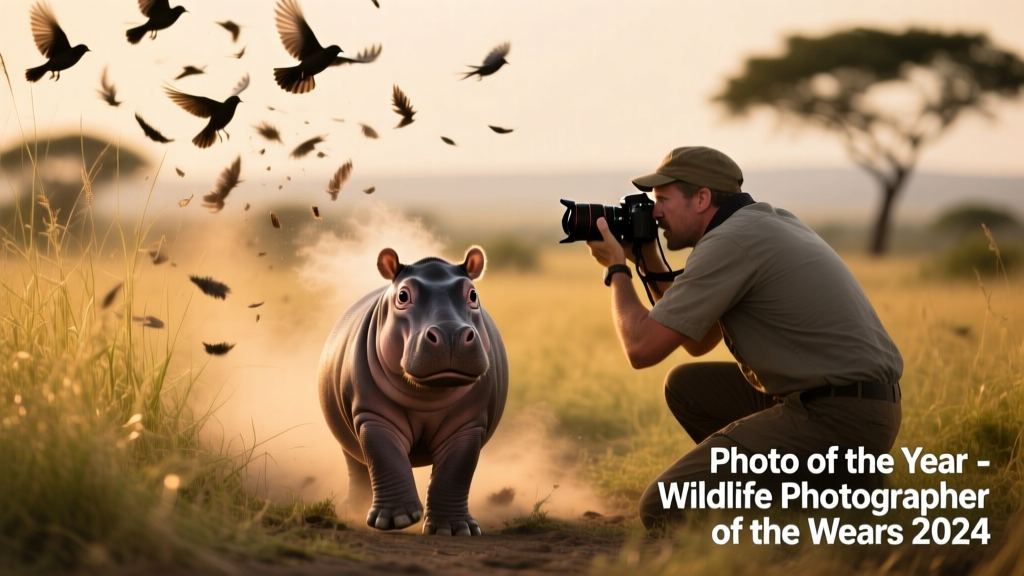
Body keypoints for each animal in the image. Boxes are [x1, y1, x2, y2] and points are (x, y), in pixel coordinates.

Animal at [318, 246, 508, 536]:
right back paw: (353, 509)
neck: (427, 396)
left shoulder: (469, 424)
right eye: (403, 295)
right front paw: (396, 520)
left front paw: (455, 529)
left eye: (473, 294)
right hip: (346, 434)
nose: (450, 334)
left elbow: (456, 471)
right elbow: (385, 457)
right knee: (357, 463)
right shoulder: (372, 416)